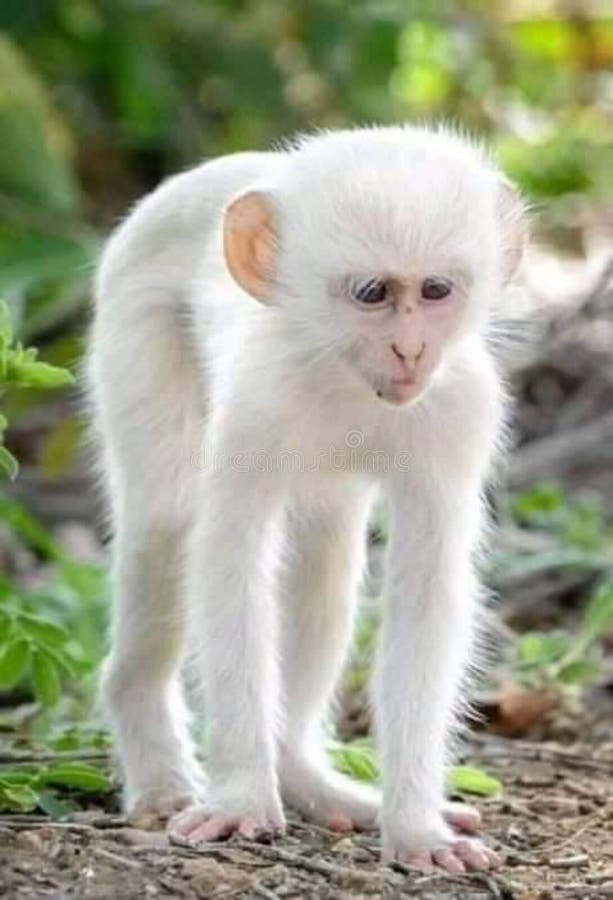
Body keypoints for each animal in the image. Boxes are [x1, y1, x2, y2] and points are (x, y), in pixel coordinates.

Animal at [87, 125, 525, 873]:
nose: (411, 351)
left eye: (436, 289)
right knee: (165, 521)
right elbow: (228, 562)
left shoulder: (461, 407)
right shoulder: (258, 401)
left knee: (325, 551)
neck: (344, 374)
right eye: (372, 293)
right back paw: (158, 762)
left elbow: (427, 593)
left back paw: (305, 775)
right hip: (131, 318)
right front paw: (240, 799)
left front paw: (414, 825)